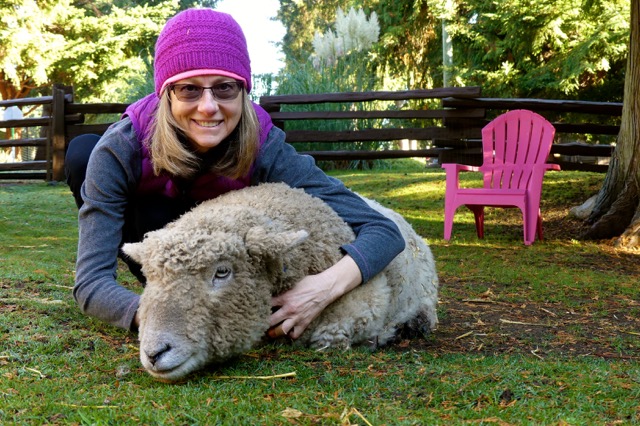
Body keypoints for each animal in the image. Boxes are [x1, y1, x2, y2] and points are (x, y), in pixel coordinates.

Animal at [122, 182, 438, 382]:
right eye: (150, 277)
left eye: (222, 272)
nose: (154, 352)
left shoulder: (369, 296)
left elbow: (330, 338)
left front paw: (373, 339)